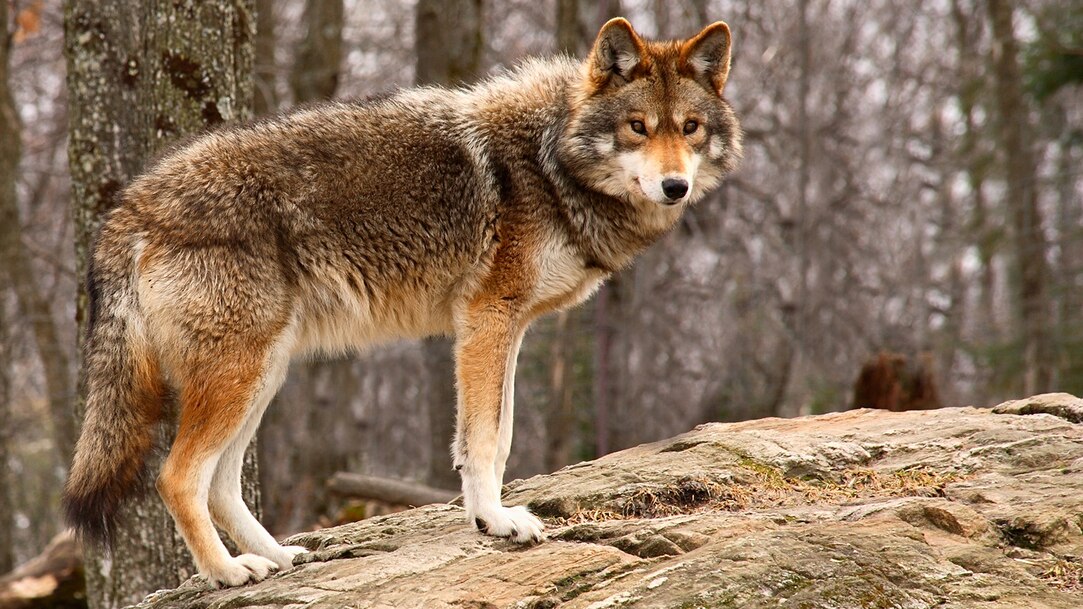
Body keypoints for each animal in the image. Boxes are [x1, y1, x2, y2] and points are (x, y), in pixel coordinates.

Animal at [63, 18, 742, 587]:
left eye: (689, 128)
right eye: (638, 127)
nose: (675, 186)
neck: (550, 162)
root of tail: (128, 207)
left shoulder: (509, 328)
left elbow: (497, 435)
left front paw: (487, 517)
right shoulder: (487, 320)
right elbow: (486, 441)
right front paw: (496, 523)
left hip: (262, 373)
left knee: (223, 485)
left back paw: (278, 556)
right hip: (239, 373)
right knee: (178, 478)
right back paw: (228, 573)